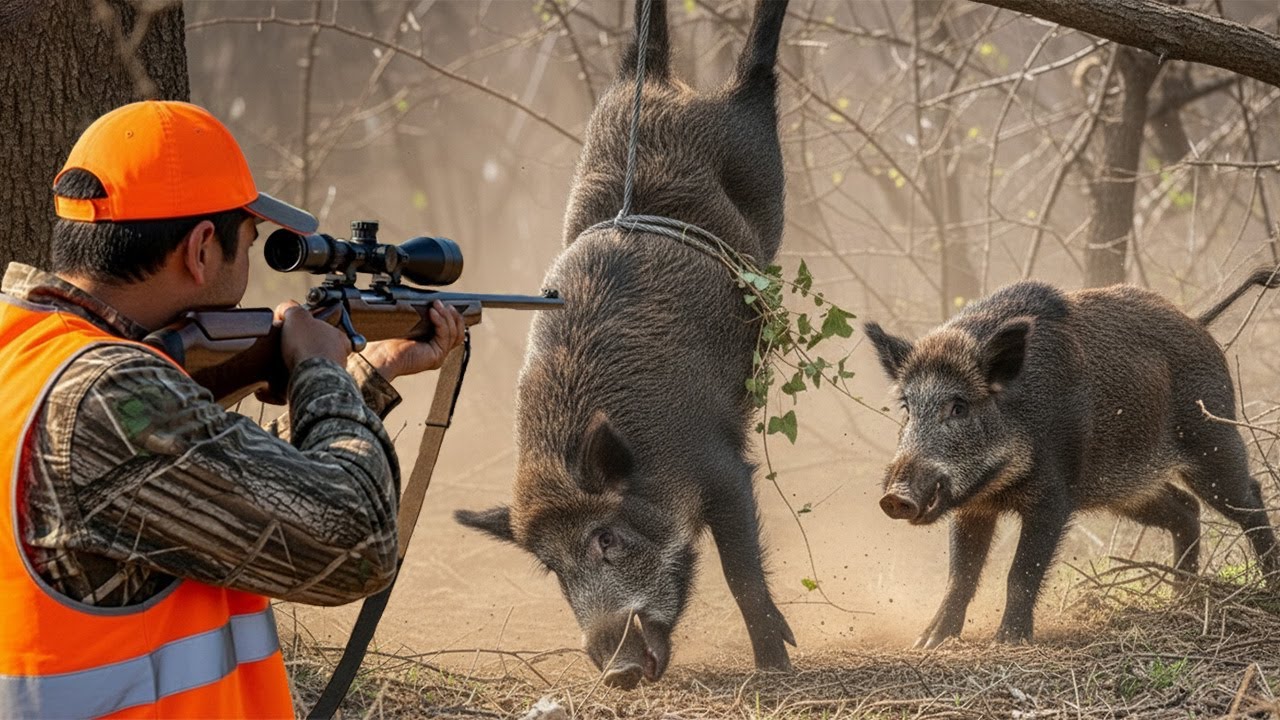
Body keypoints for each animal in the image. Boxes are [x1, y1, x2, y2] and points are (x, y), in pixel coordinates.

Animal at [455, 0, 794, 688]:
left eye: (606, 538)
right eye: (551, 567)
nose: (616, 672)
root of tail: (665, 90)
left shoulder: (721, 464)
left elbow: (741, 570)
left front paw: (777, 666)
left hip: (760, 152)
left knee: (760, 70)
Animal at [864, 269, 1280, 649]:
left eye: (959, 407)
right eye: (907, 407)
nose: (894, 497)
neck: (1002, 480)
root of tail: (1198, 323)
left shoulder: (1054, 496)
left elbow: (1022, 572)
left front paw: (1009, 641)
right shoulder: (974, 506)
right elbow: (960, 575)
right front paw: (927, 642)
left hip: (1213, 439)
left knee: (1250, 498)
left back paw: (1267, 585)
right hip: (1127, 487)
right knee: (1186, 509)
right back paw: (1182, 600)